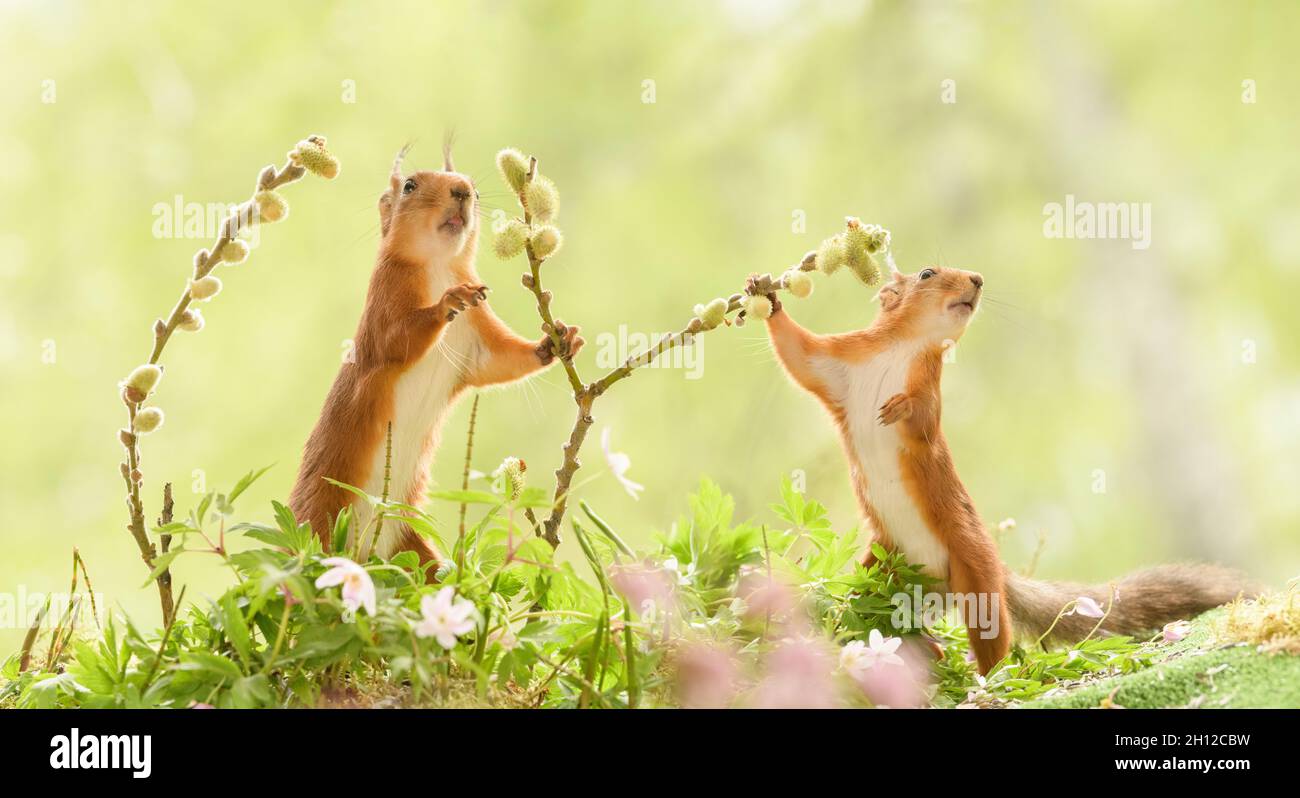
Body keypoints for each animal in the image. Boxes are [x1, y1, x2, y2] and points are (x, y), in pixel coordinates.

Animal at [289, 145, 583, 565]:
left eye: (475, 188)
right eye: (409, 185)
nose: (461, 190)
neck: (441, 266)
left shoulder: (478, 341)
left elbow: (503, 360)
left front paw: (557, 340)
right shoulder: (383, 305)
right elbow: (398, 340)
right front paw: (448, 301)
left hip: (410, 549)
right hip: (317, 519)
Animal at [756, 265, 1255, 674]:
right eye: (926, 273)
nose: (977, 280)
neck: (902, 348)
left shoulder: (930, 387)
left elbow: (923, 421)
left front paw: (900, 408)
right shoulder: (840, 362)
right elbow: (800, 354)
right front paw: (767, 296)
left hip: (975, 570)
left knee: (991, 638)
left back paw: (986, 679)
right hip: (877, 572)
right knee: (874, 615)